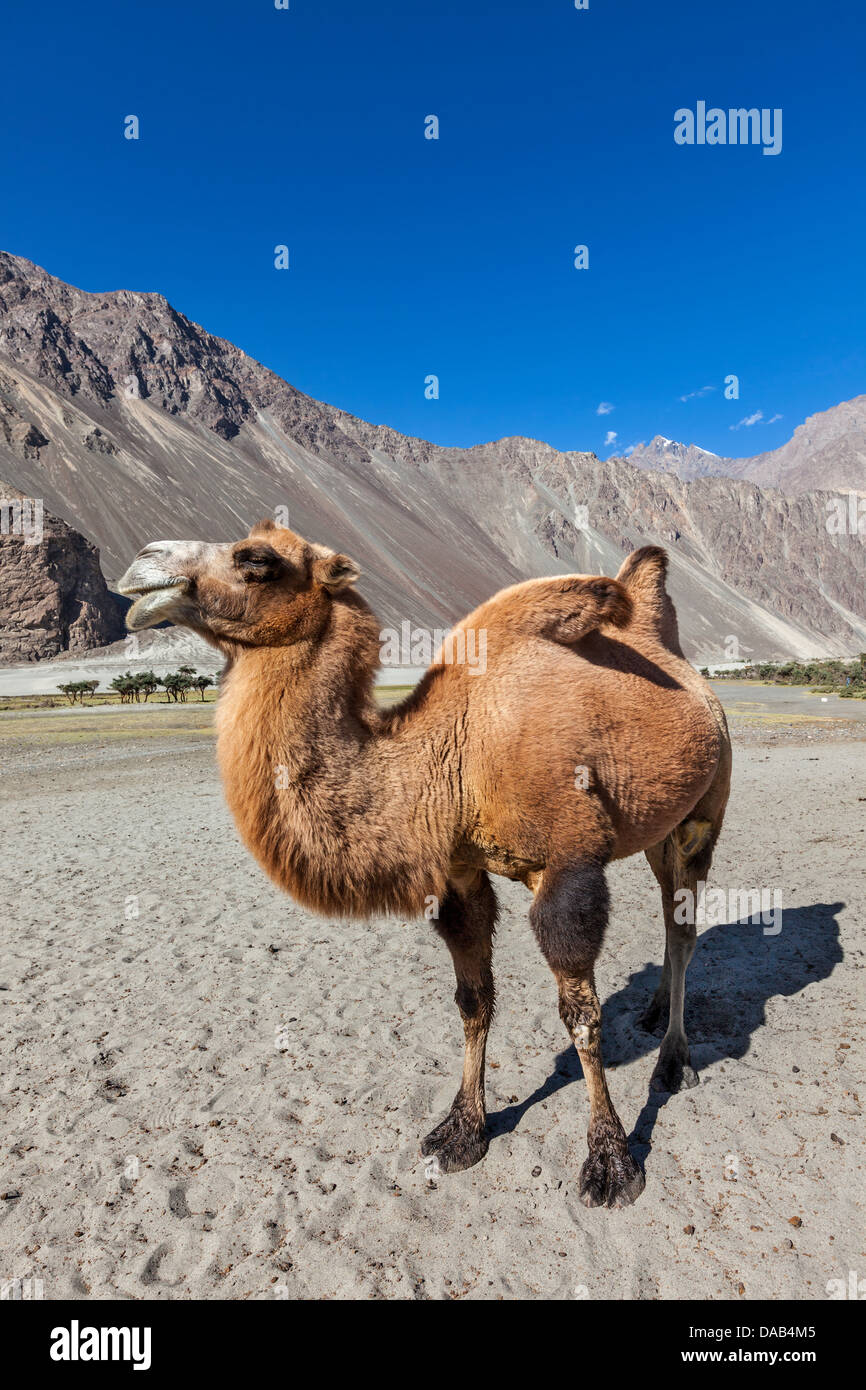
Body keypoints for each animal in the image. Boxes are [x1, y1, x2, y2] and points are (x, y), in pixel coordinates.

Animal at [118, 522, 731, 1209]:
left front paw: (611, 1163)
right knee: (669, 915)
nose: (144, 563)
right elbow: (473, 999)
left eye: (257, 559)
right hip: (658, 829)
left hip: (703, 814)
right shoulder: (459, 872)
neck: (450, 758)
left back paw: (674, 1060)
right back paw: (652, 1013)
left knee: (682, 928)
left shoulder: (568, 866)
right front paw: (461, 1131)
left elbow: (581, 1016)